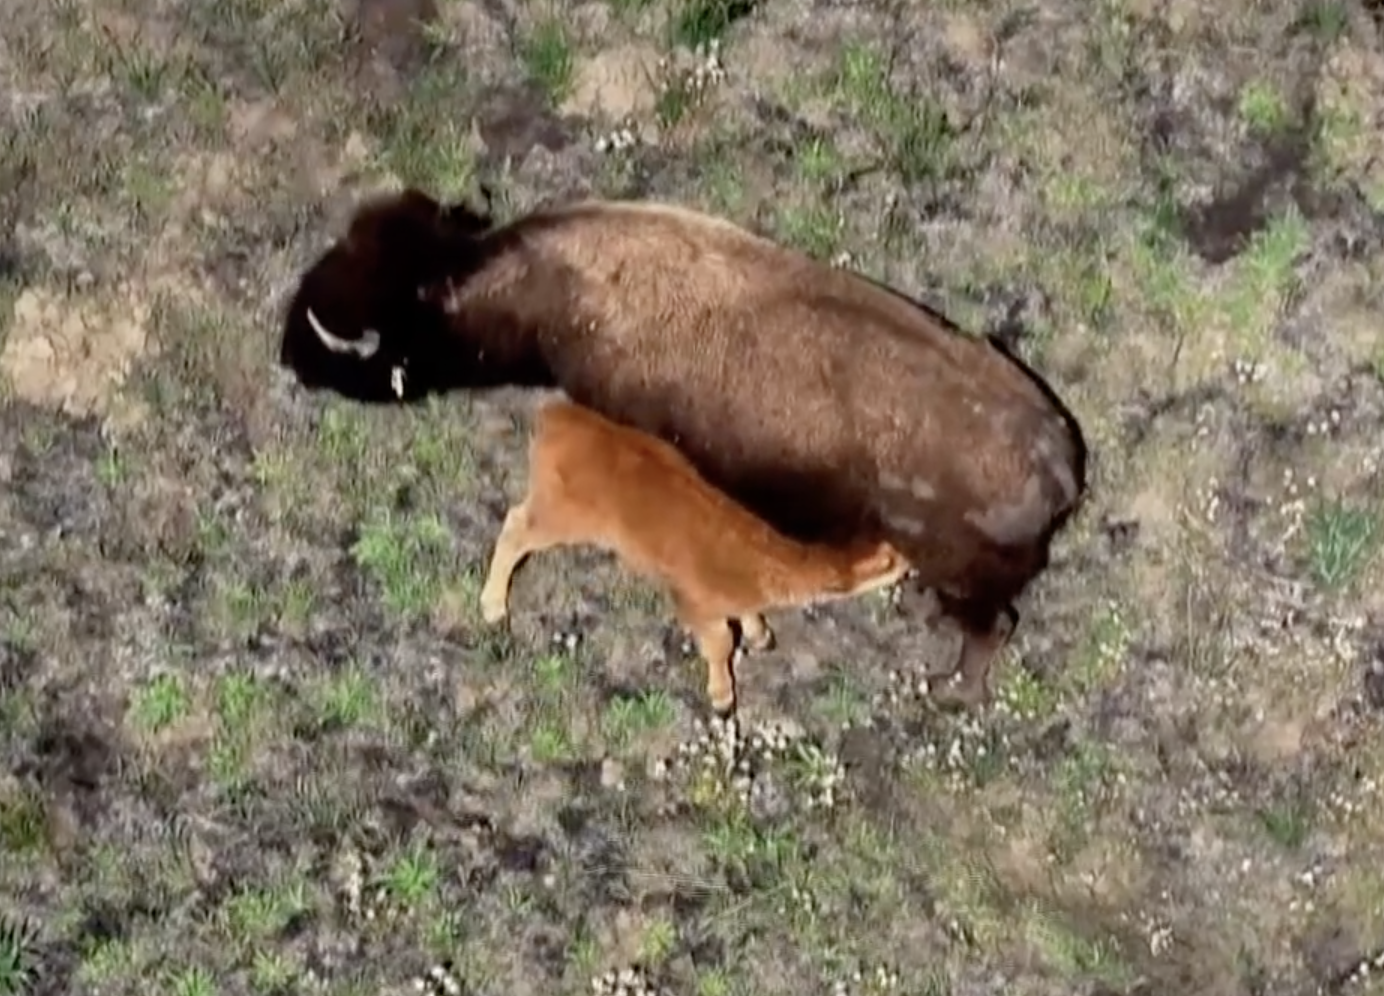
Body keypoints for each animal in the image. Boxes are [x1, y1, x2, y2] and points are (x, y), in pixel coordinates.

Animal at [279, 187, 1088, 706]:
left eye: (377, 333)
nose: (289, 354)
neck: (543, 292)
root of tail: (1060, 462)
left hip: (968, 577)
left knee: (993, 627)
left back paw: (951, 691)